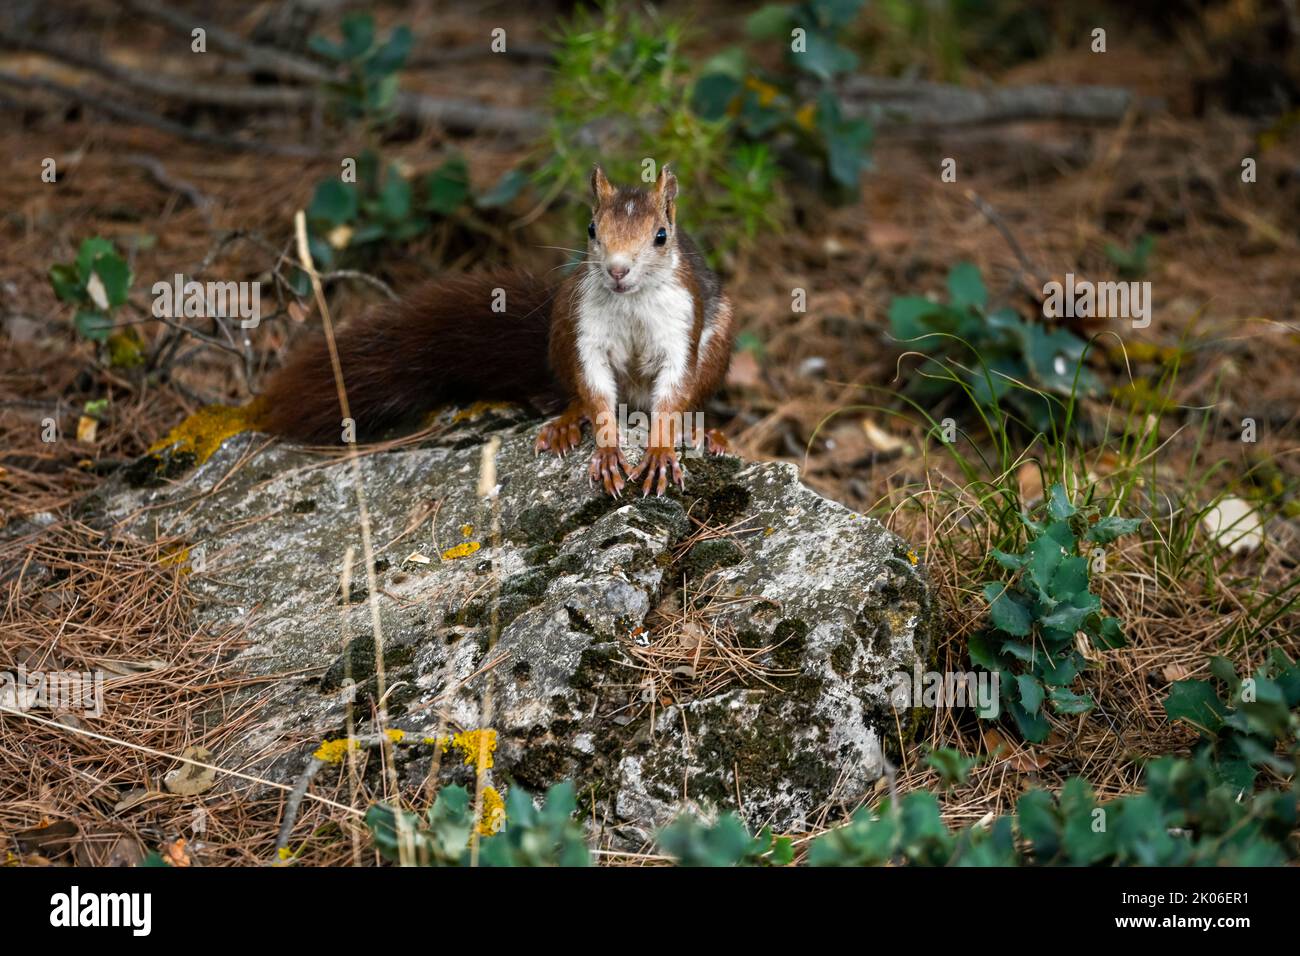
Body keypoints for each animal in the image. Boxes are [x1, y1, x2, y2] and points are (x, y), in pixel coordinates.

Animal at [259, 164, 736, 497]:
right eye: (591, 229)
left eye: (661, 235)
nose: (617, 270)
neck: (631, 301)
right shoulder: (587, 332)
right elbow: (596, 388)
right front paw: (606, 448)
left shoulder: (680, 326)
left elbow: (673, 392)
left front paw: (659, 451)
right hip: (561, 326)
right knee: (573, 391)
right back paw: (567, 421)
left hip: (718, 339)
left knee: (691, 396)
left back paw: (702, 433)